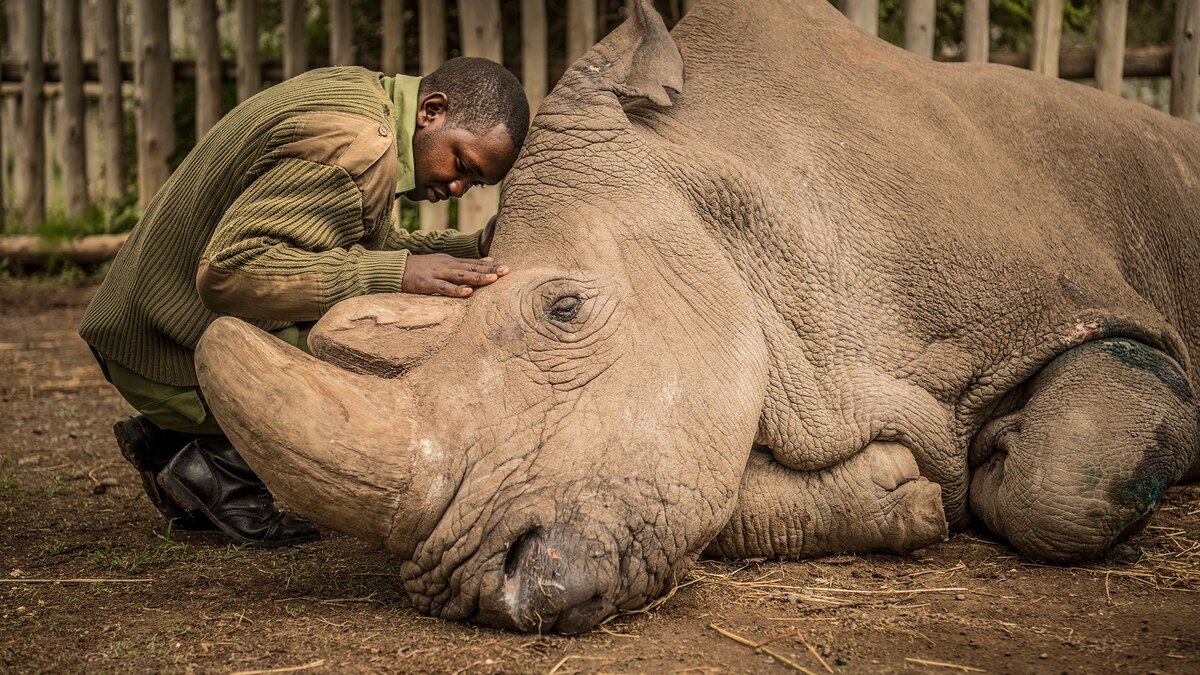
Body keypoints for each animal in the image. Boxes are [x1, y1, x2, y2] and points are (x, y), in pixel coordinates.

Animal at [194, 0, 1200, 633]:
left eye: (565, 308)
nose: (475, 587)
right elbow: (714, 490)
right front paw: (905, 493)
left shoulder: (1090, 311)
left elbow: (1062, 481)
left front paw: (998, 457)